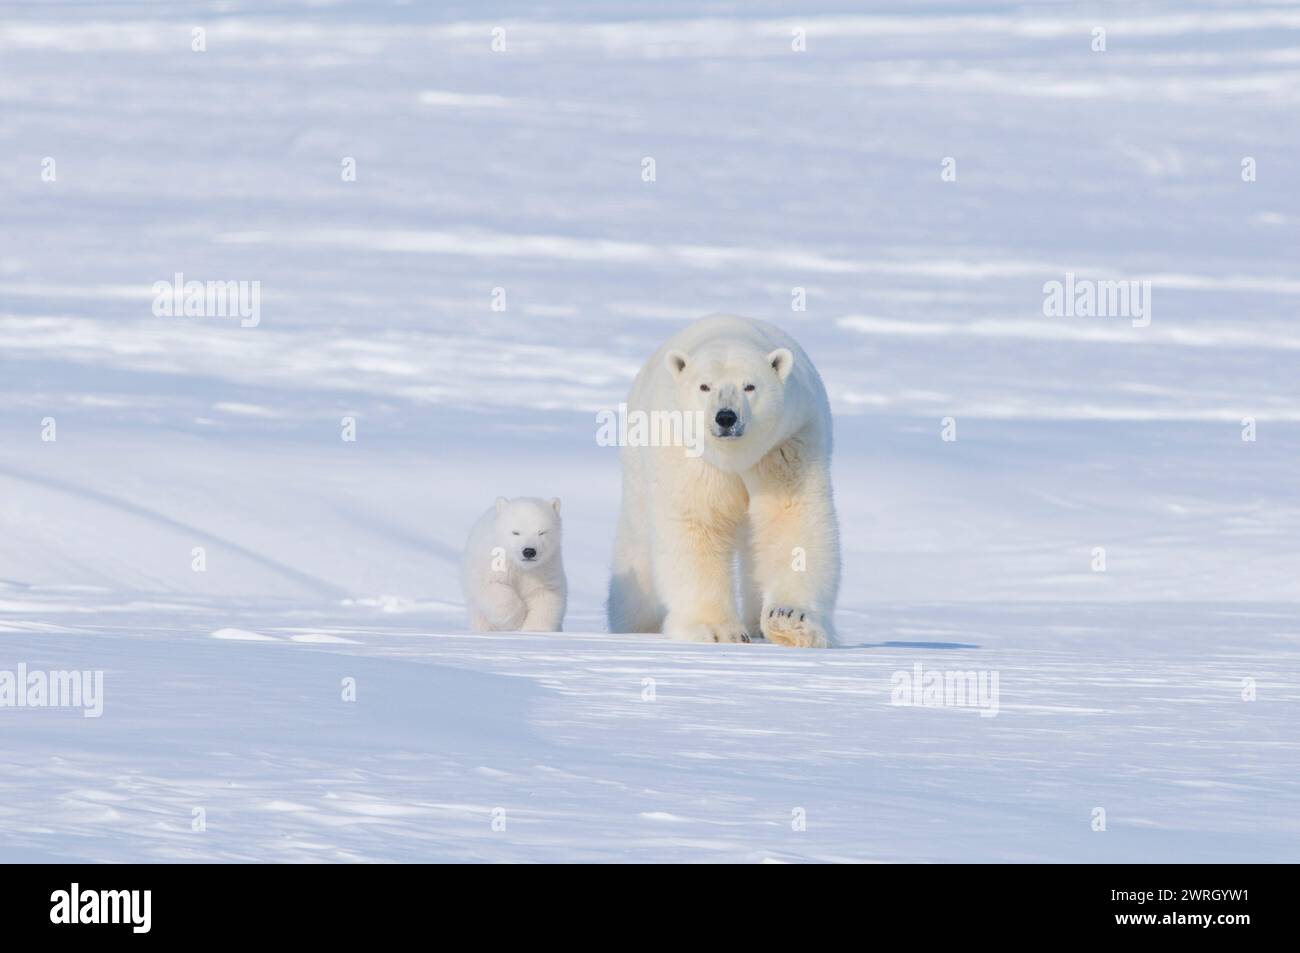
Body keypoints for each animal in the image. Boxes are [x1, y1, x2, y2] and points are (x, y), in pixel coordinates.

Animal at [461, 496, 567, 632]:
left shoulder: (545, 568)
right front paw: (518, 619)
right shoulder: (494, 563)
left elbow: (545, 596)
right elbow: (492, 587)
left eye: (542, 532)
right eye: (516, 532)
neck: (521, 567)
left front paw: (534, 630)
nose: (529, 551)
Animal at [607, 314, 841, 648]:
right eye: (704, 386)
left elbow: (791, 518)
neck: (736, 458)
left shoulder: (787, 443)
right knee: (638, 544)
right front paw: (717, 630)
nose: (726, 417)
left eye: (750, 386)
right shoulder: (688, 453)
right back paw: (636, 624)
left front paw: (790, 620)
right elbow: (697, 521)